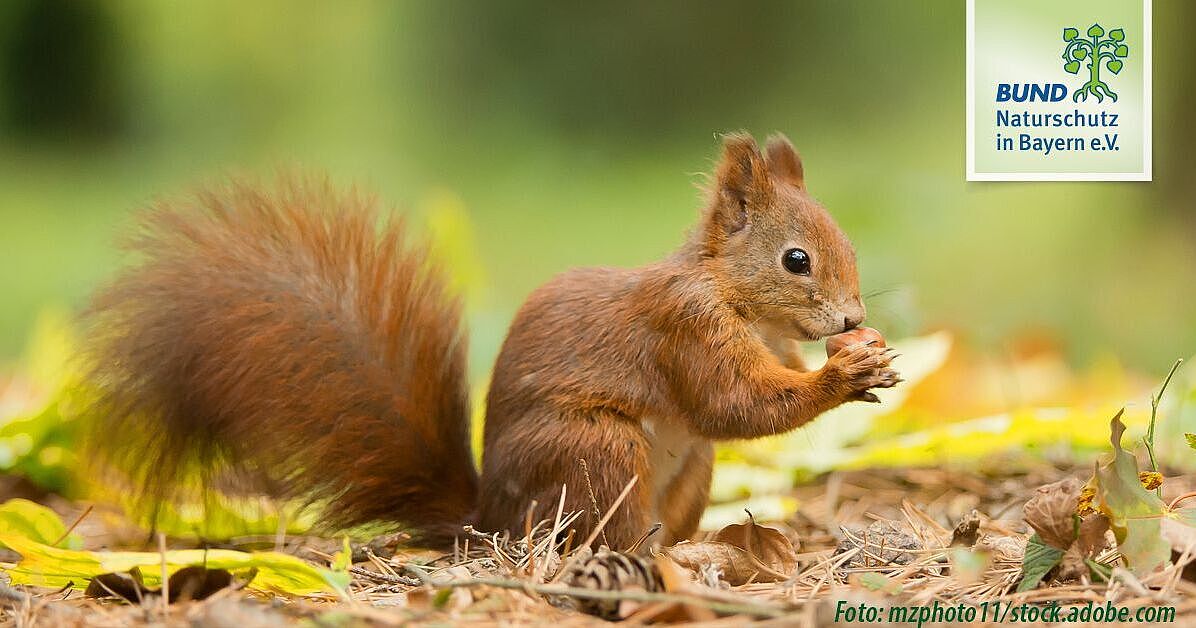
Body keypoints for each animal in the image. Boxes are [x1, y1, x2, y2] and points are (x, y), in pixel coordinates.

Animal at [82, 132, 899, 551]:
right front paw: (843, 376)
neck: (730, 292)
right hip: (594, 451)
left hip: (687, 470)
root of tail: (488, 519)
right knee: (599, 533)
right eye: (796, 260)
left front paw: (860, 358)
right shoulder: (684, 329)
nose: (851, 319)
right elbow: (735, 403)